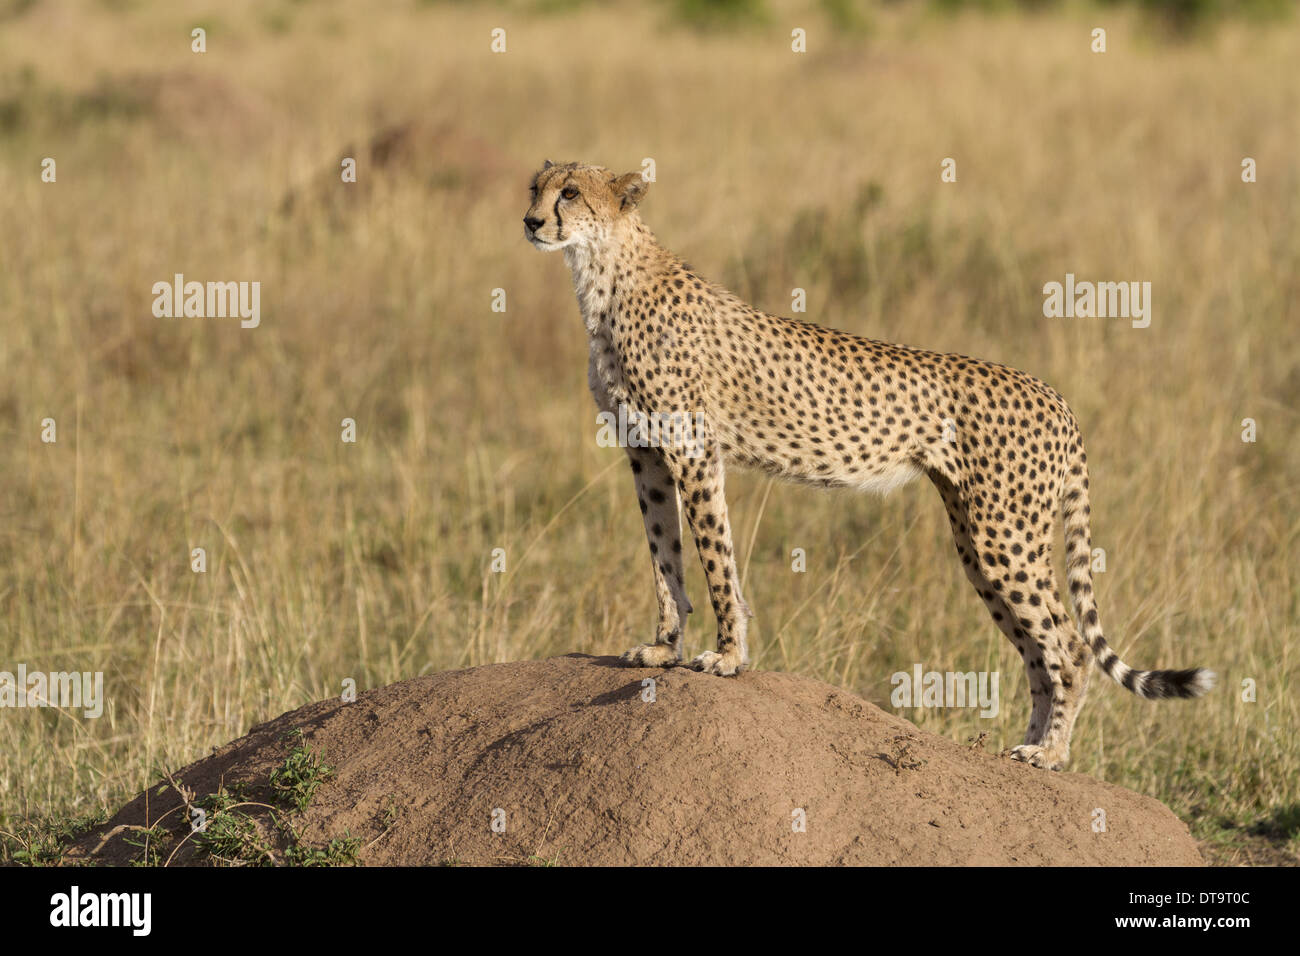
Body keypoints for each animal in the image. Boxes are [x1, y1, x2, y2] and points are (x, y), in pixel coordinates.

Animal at [522, 160, 1215, 770]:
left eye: (571, 193)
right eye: (536, 187)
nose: (530, 221)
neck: (603, 273)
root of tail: (1055, 395)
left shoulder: (693, 450)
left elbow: (716, 561)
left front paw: (727, 658)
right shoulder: (644, 453)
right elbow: (664, 556)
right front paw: (664, 649)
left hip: (1004, 536)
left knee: (1066, 645)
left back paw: (1051, 755)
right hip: (975, 542)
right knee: (1034, 650)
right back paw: (1025, 748)